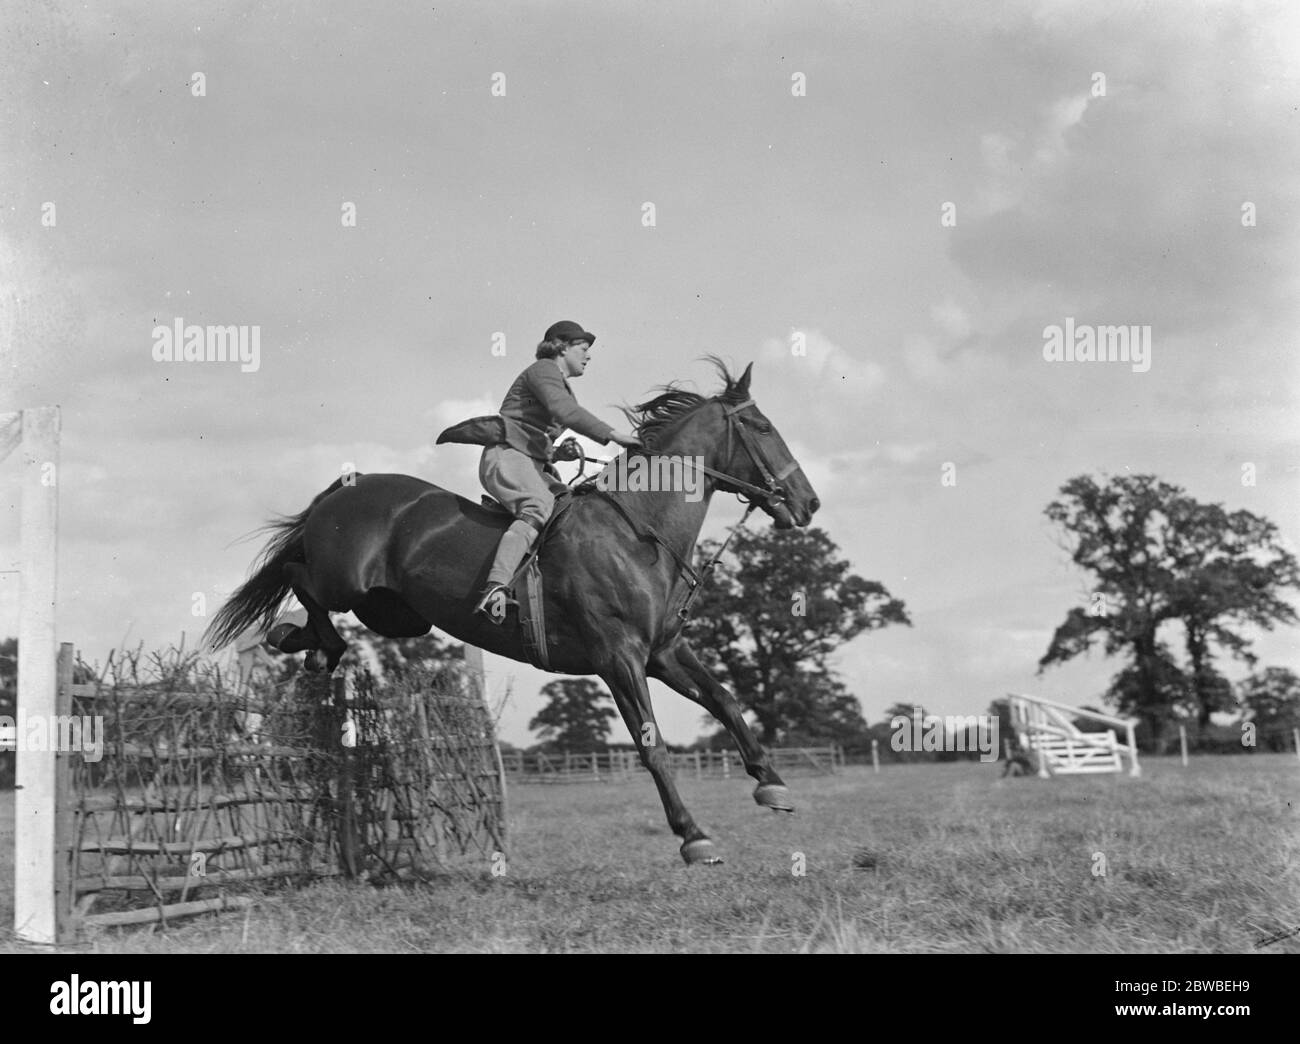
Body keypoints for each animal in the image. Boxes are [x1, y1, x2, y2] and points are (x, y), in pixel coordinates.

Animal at [204, 359, 820, 864]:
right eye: (762, 427)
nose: (808, 504)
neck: (638, 531)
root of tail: (349, 485)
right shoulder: (618, 659)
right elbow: (653, 746)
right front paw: (694, 836)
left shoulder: (664, 652)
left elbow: (726, 701)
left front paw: (771, 783)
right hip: (344, 582)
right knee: (294, 578)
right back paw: (300, 646)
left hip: (397, 613)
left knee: (305, 610)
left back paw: (300, 645)